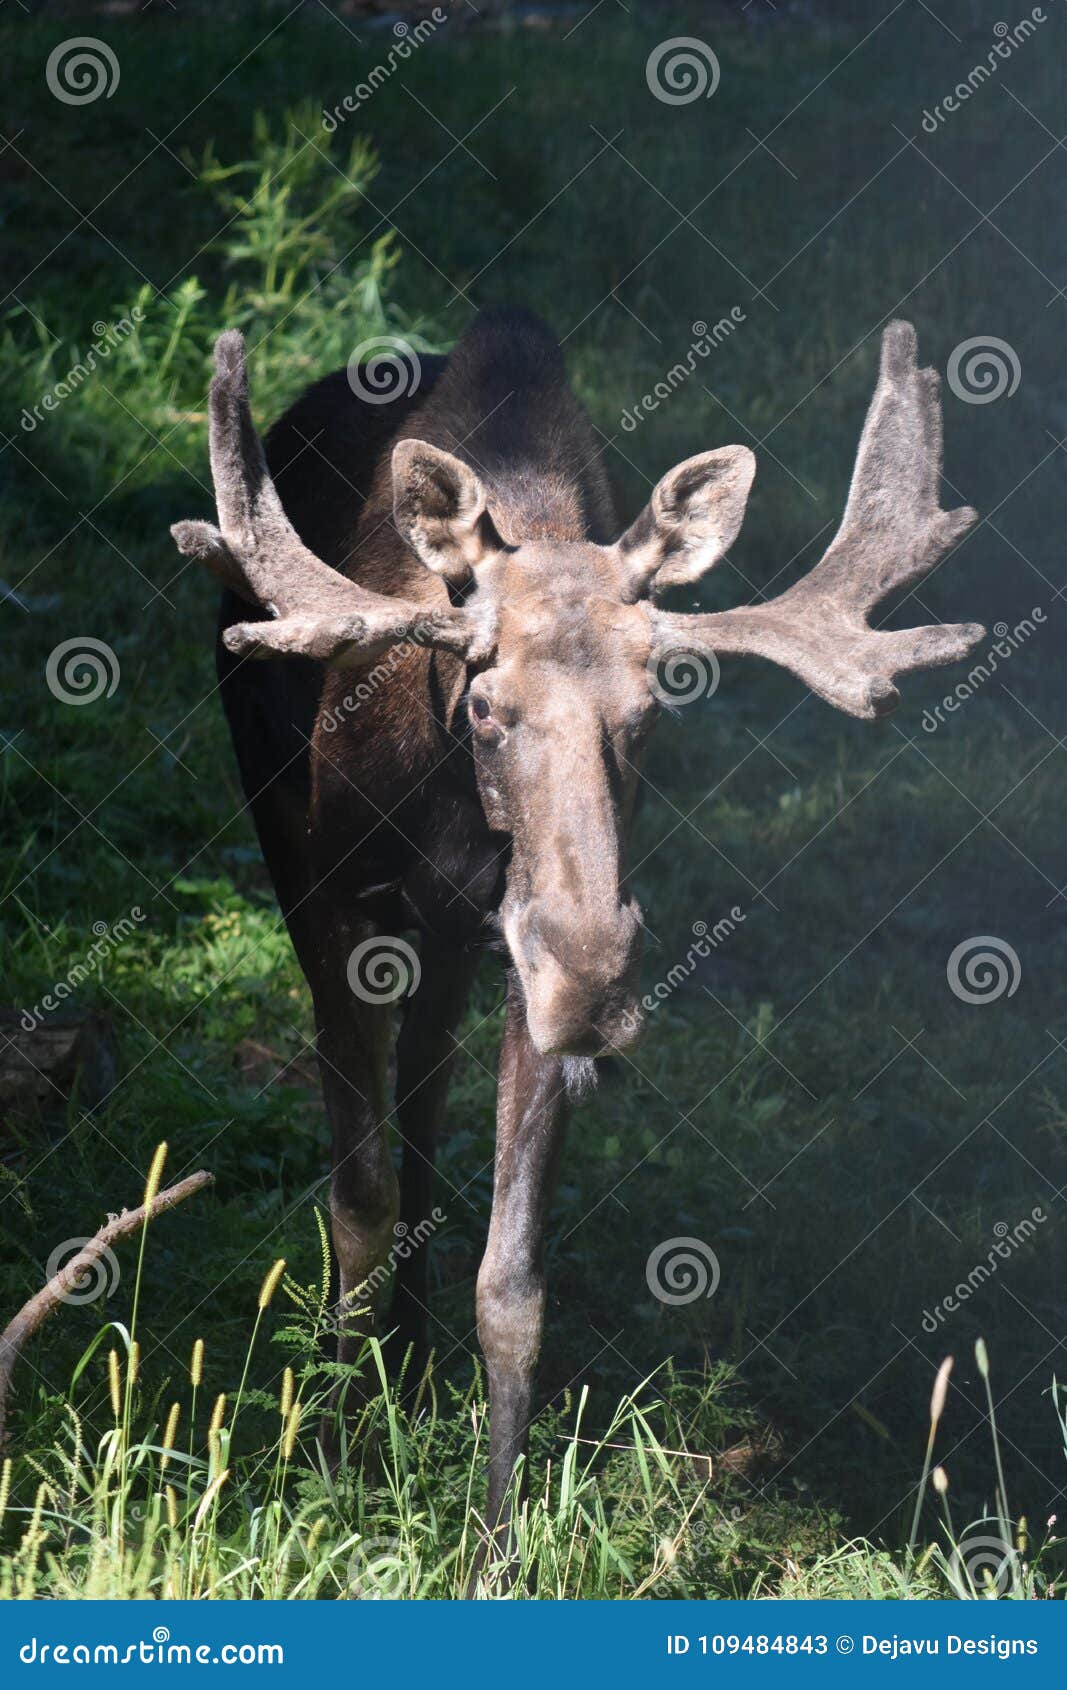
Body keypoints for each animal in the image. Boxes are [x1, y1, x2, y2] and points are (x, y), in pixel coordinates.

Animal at [171, 309, 983, 1544]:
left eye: (649, 711)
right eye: (484, 700)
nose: (592, 982)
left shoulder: (512, 952)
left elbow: (512, 1281)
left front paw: (491, 1545)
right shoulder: (332, 904)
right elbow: (353, 1208)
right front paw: (337, 1466)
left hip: (458, 947)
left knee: (427, 1100)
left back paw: (413, 1363)